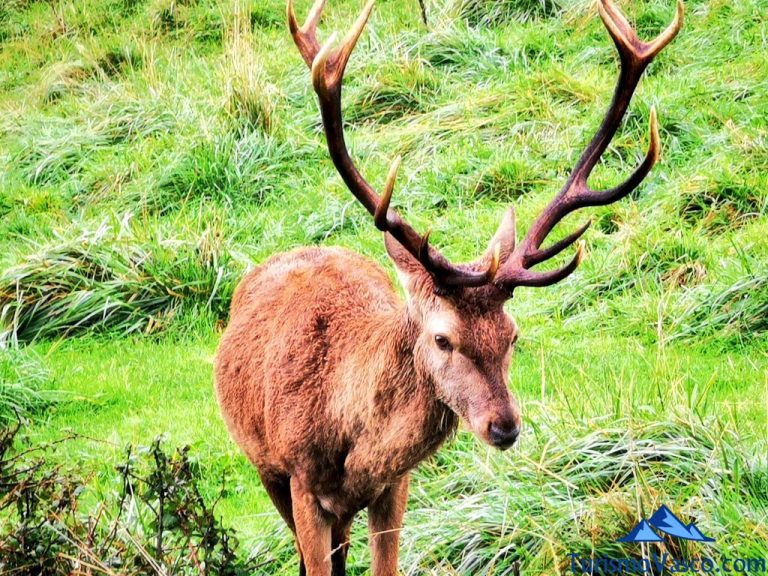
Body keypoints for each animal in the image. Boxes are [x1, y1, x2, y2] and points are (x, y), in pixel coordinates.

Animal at [214, 1, 683, 574]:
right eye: (442, 338)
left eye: (512, 335)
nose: (505, 427)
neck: (352, 446)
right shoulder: (299, 481)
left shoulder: (394, 486)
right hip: (265, 468)